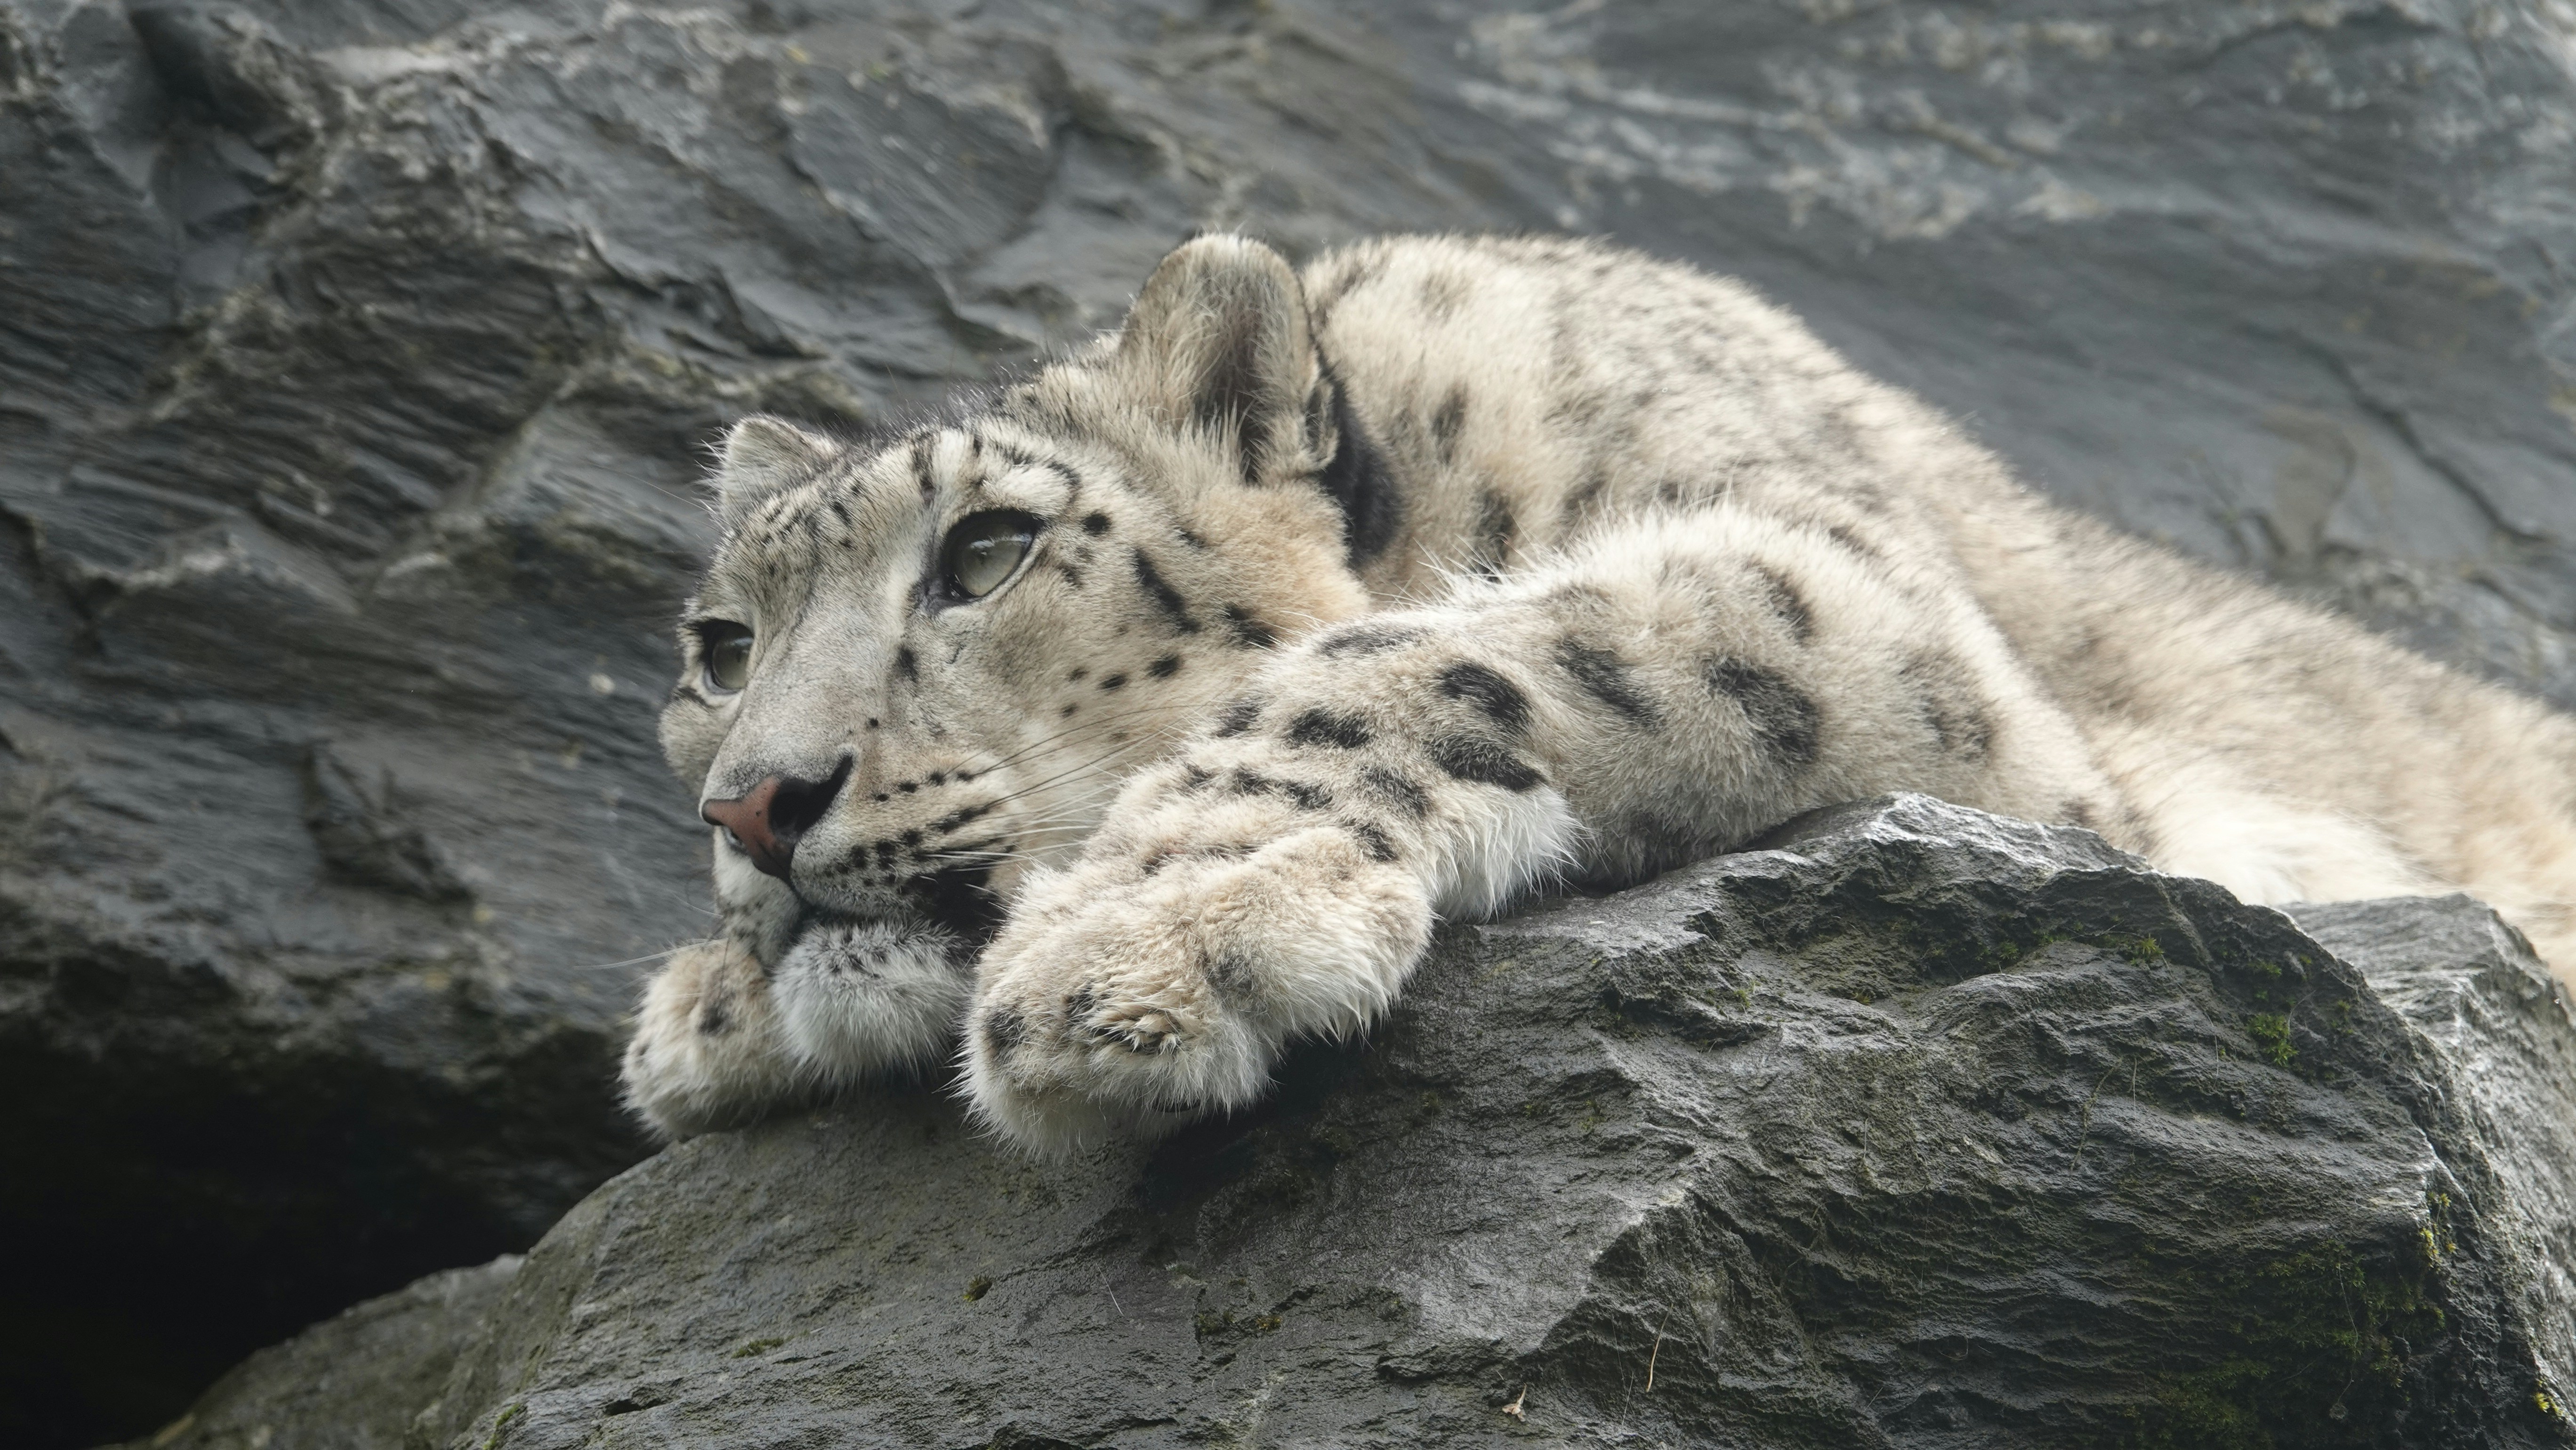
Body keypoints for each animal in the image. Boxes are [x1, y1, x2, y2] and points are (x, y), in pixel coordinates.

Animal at [624, 232, 2576, 1156]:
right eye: (719, 647)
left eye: (986, 552)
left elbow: (1481, 644)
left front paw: (1149, 944)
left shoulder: (1874, 610)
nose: (753, 805)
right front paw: (703, 1013)